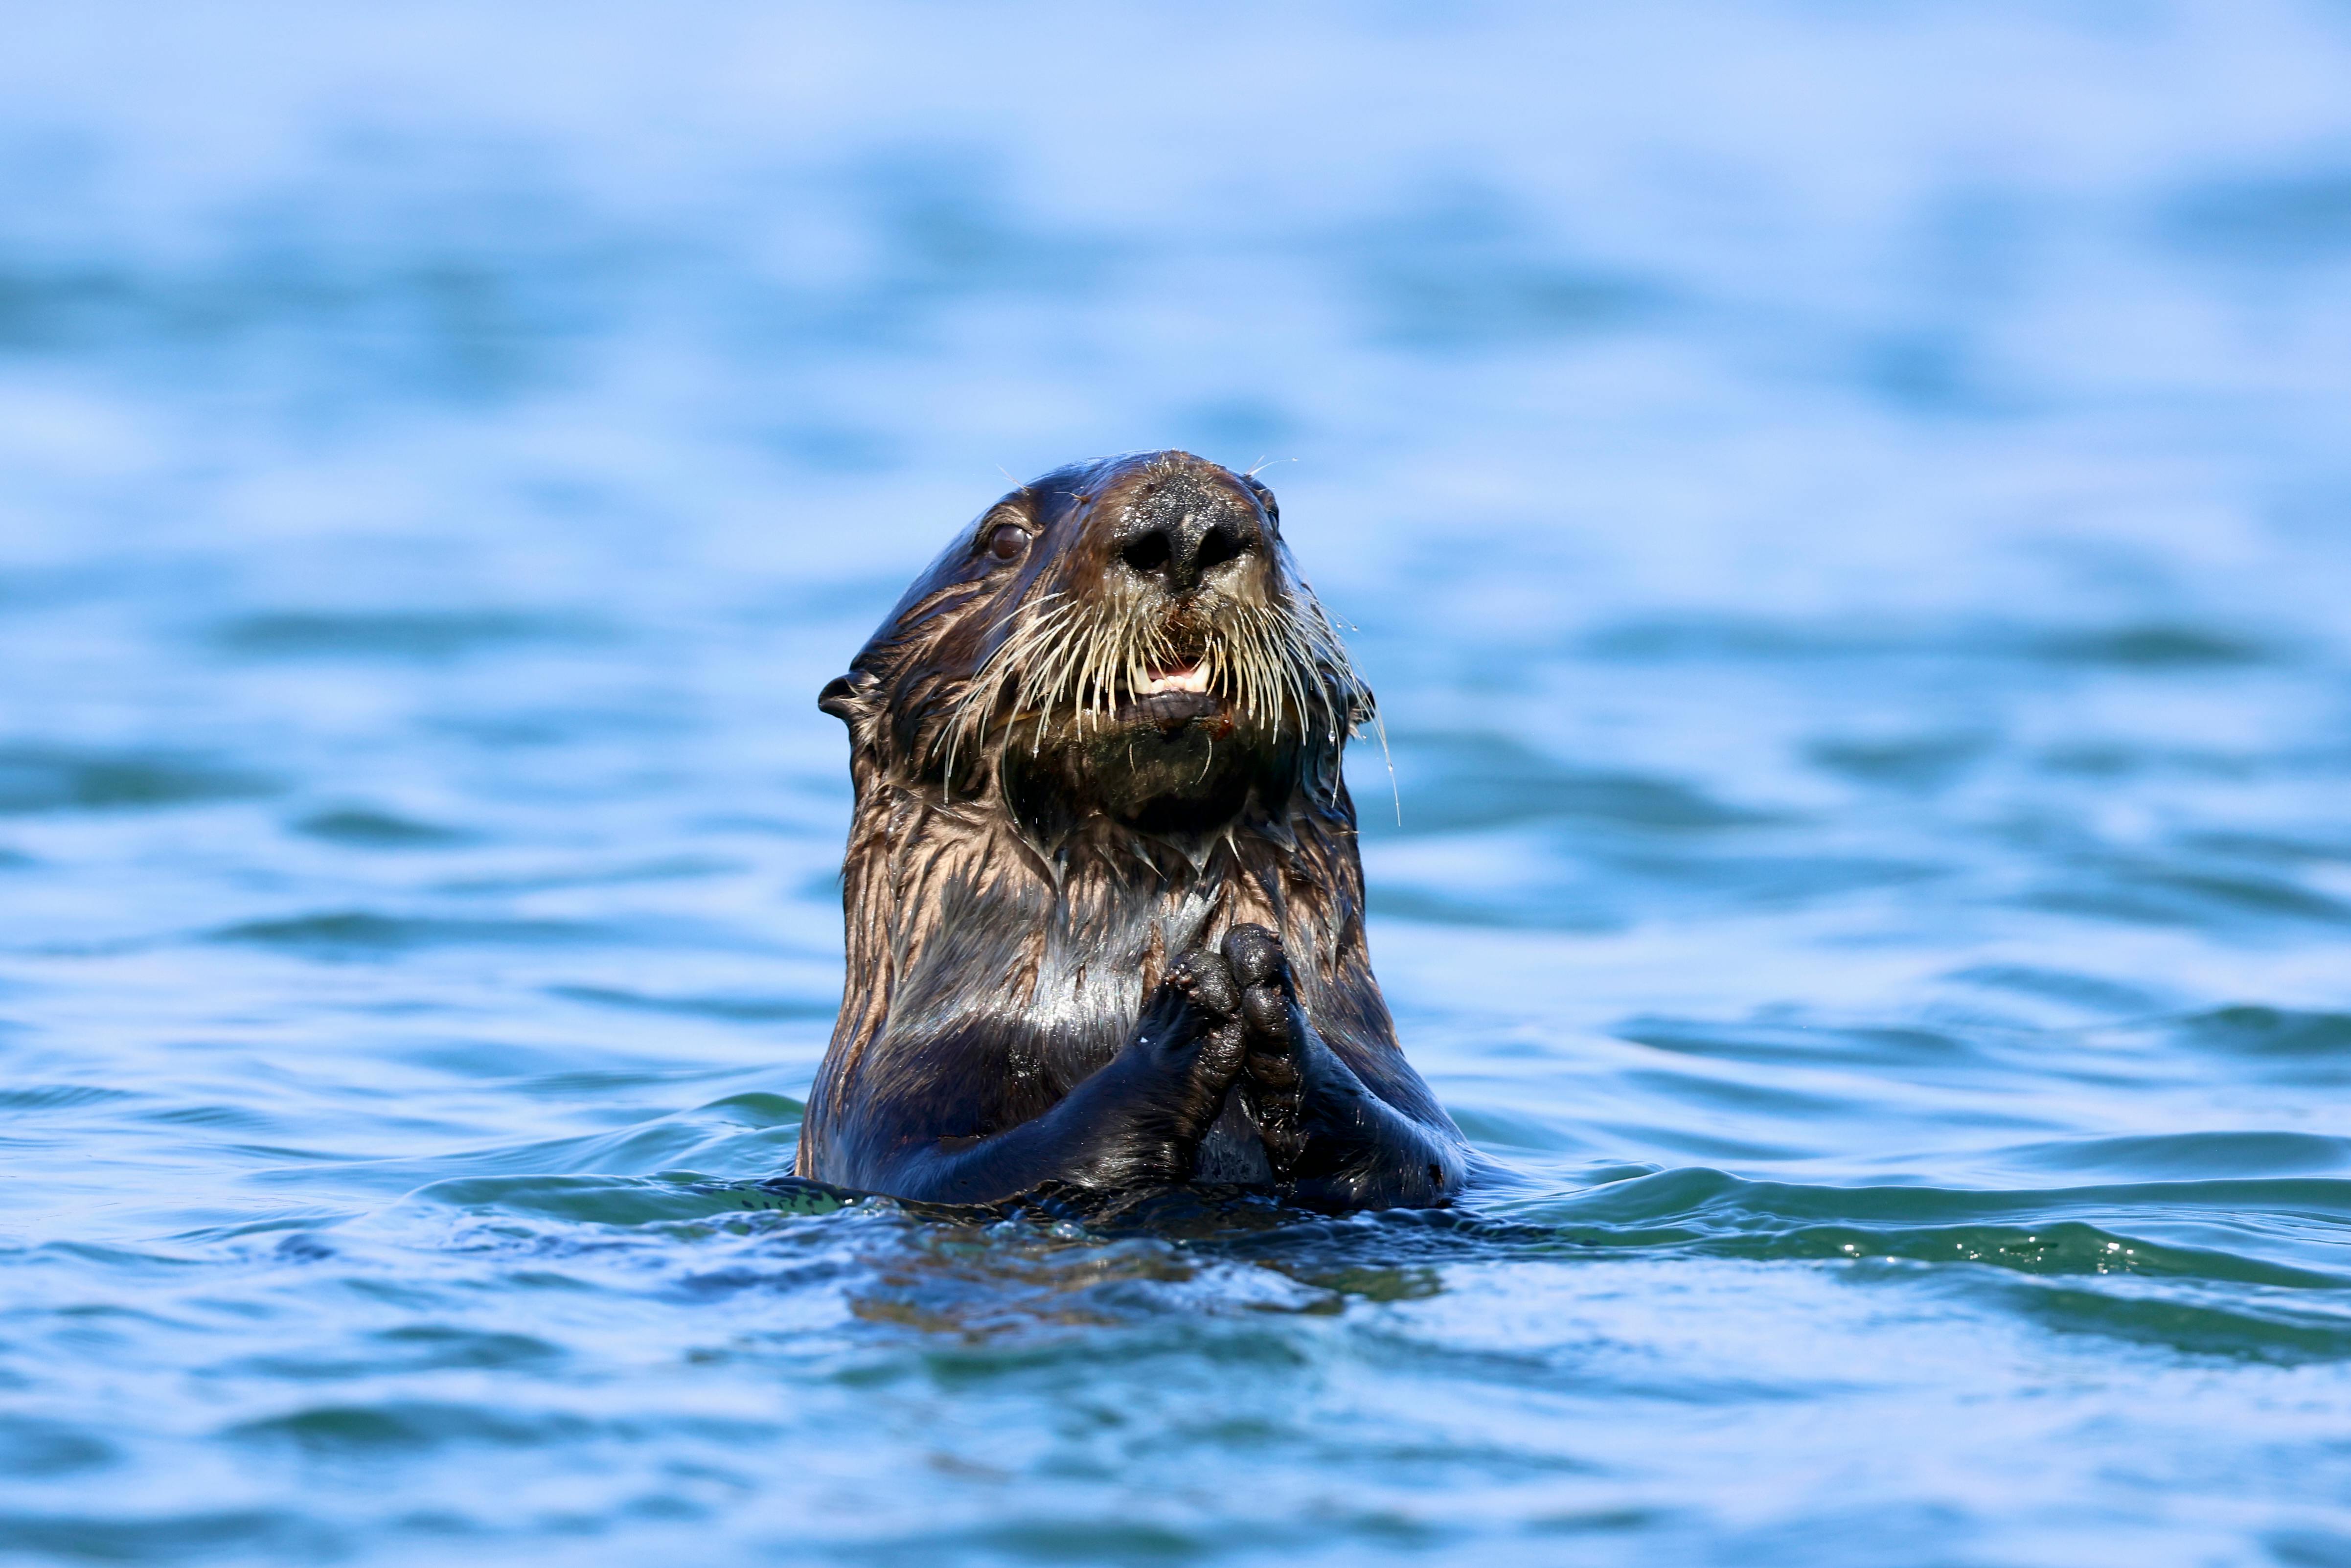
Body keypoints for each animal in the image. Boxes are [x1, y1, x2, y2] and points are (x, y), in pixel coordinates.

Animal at [794, 451, 1465, 1210]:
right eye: (1003, 540)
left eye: (1273, 508)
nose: (1183, 520)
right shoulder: (879, 1119)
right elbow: (991, 1170)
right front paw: (1188, 1010)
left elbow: (1423, 1157)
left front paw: (1270, 992)